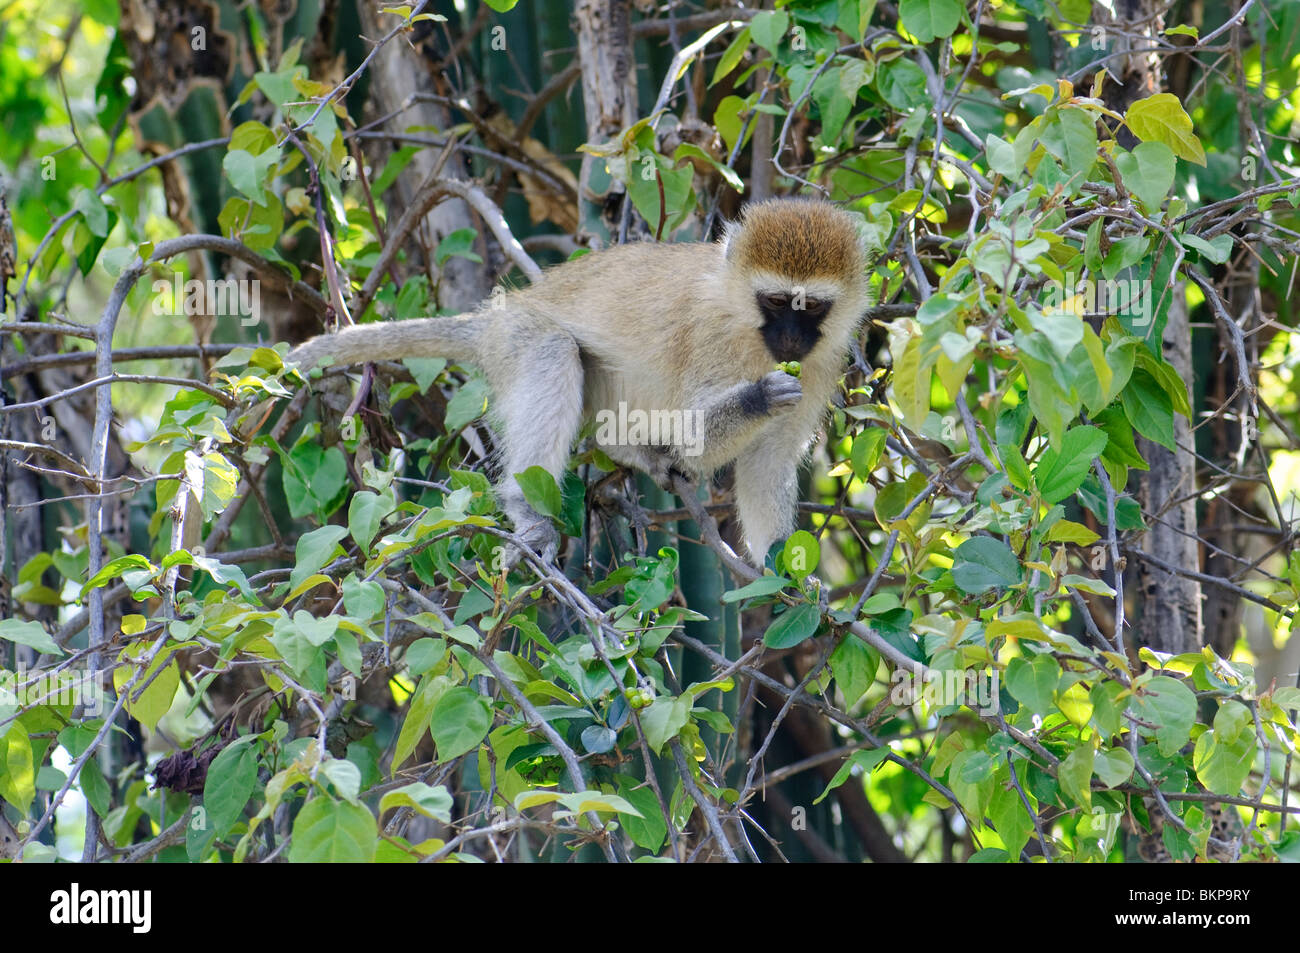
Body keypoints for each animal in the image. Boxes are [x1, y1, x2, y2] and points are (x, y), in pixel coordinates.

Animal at [288, 198, 871, 565]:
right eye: (775, 301)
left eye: (811, 308)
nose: (792, 339)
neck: (746, 327)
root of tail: (496, 316)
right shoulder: (712, 338)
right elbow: (691, 435)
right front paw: (758, 398)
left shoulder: (823, 363)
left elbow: (767, 461)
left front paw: (784, 576)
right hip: (516, 337)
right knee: (553, 352)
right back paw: (530, 512)